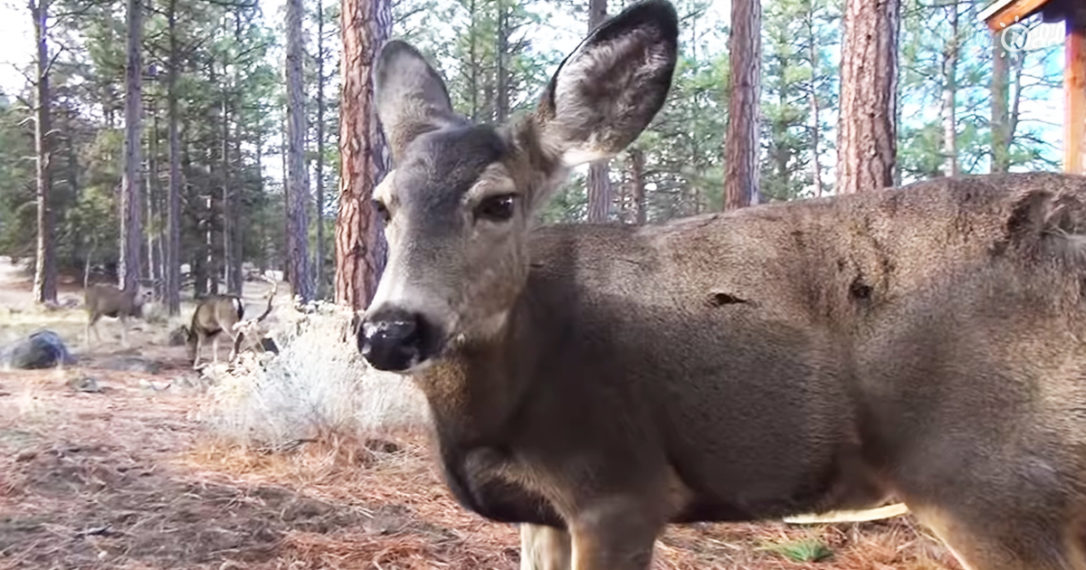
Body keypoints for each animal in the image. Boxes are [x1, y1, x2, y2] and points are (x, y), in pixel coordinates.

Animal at [357, 2, 1086, 569]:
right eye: (383, 205)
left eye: (499, 202)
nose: (389, 330)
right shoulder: (541, 512)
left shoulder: (619, 485)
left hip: (988, 479)